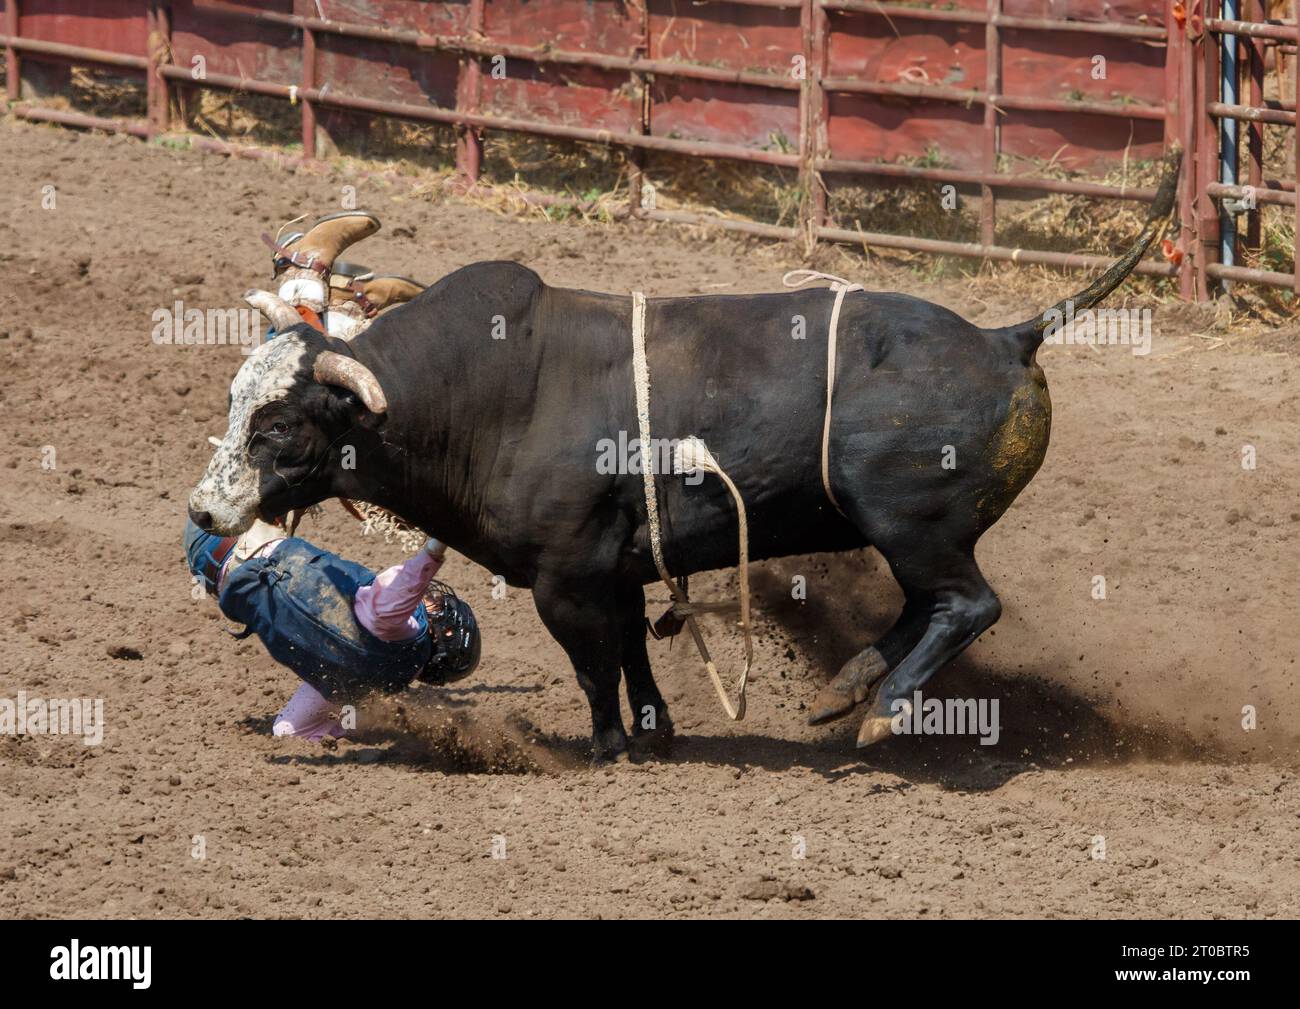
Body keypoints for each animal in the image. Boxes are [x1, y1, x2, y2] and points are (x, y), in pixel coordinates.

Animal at [189, 151, 1181, 764]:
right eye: (235, 403)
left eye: (278, 429)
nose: (202, 511)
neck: (482, 394)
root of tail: (1008, 338)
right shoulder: (619, 568)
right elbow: (634, 649)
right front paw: (657, 730)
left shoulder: (565, 580)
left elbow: (594, 666)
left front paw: (606, 748)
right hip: (904, 532)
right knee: (924, 606)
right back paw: (845, 688)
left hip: (910, 520)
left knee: (967, 604)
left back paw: (882, 711)